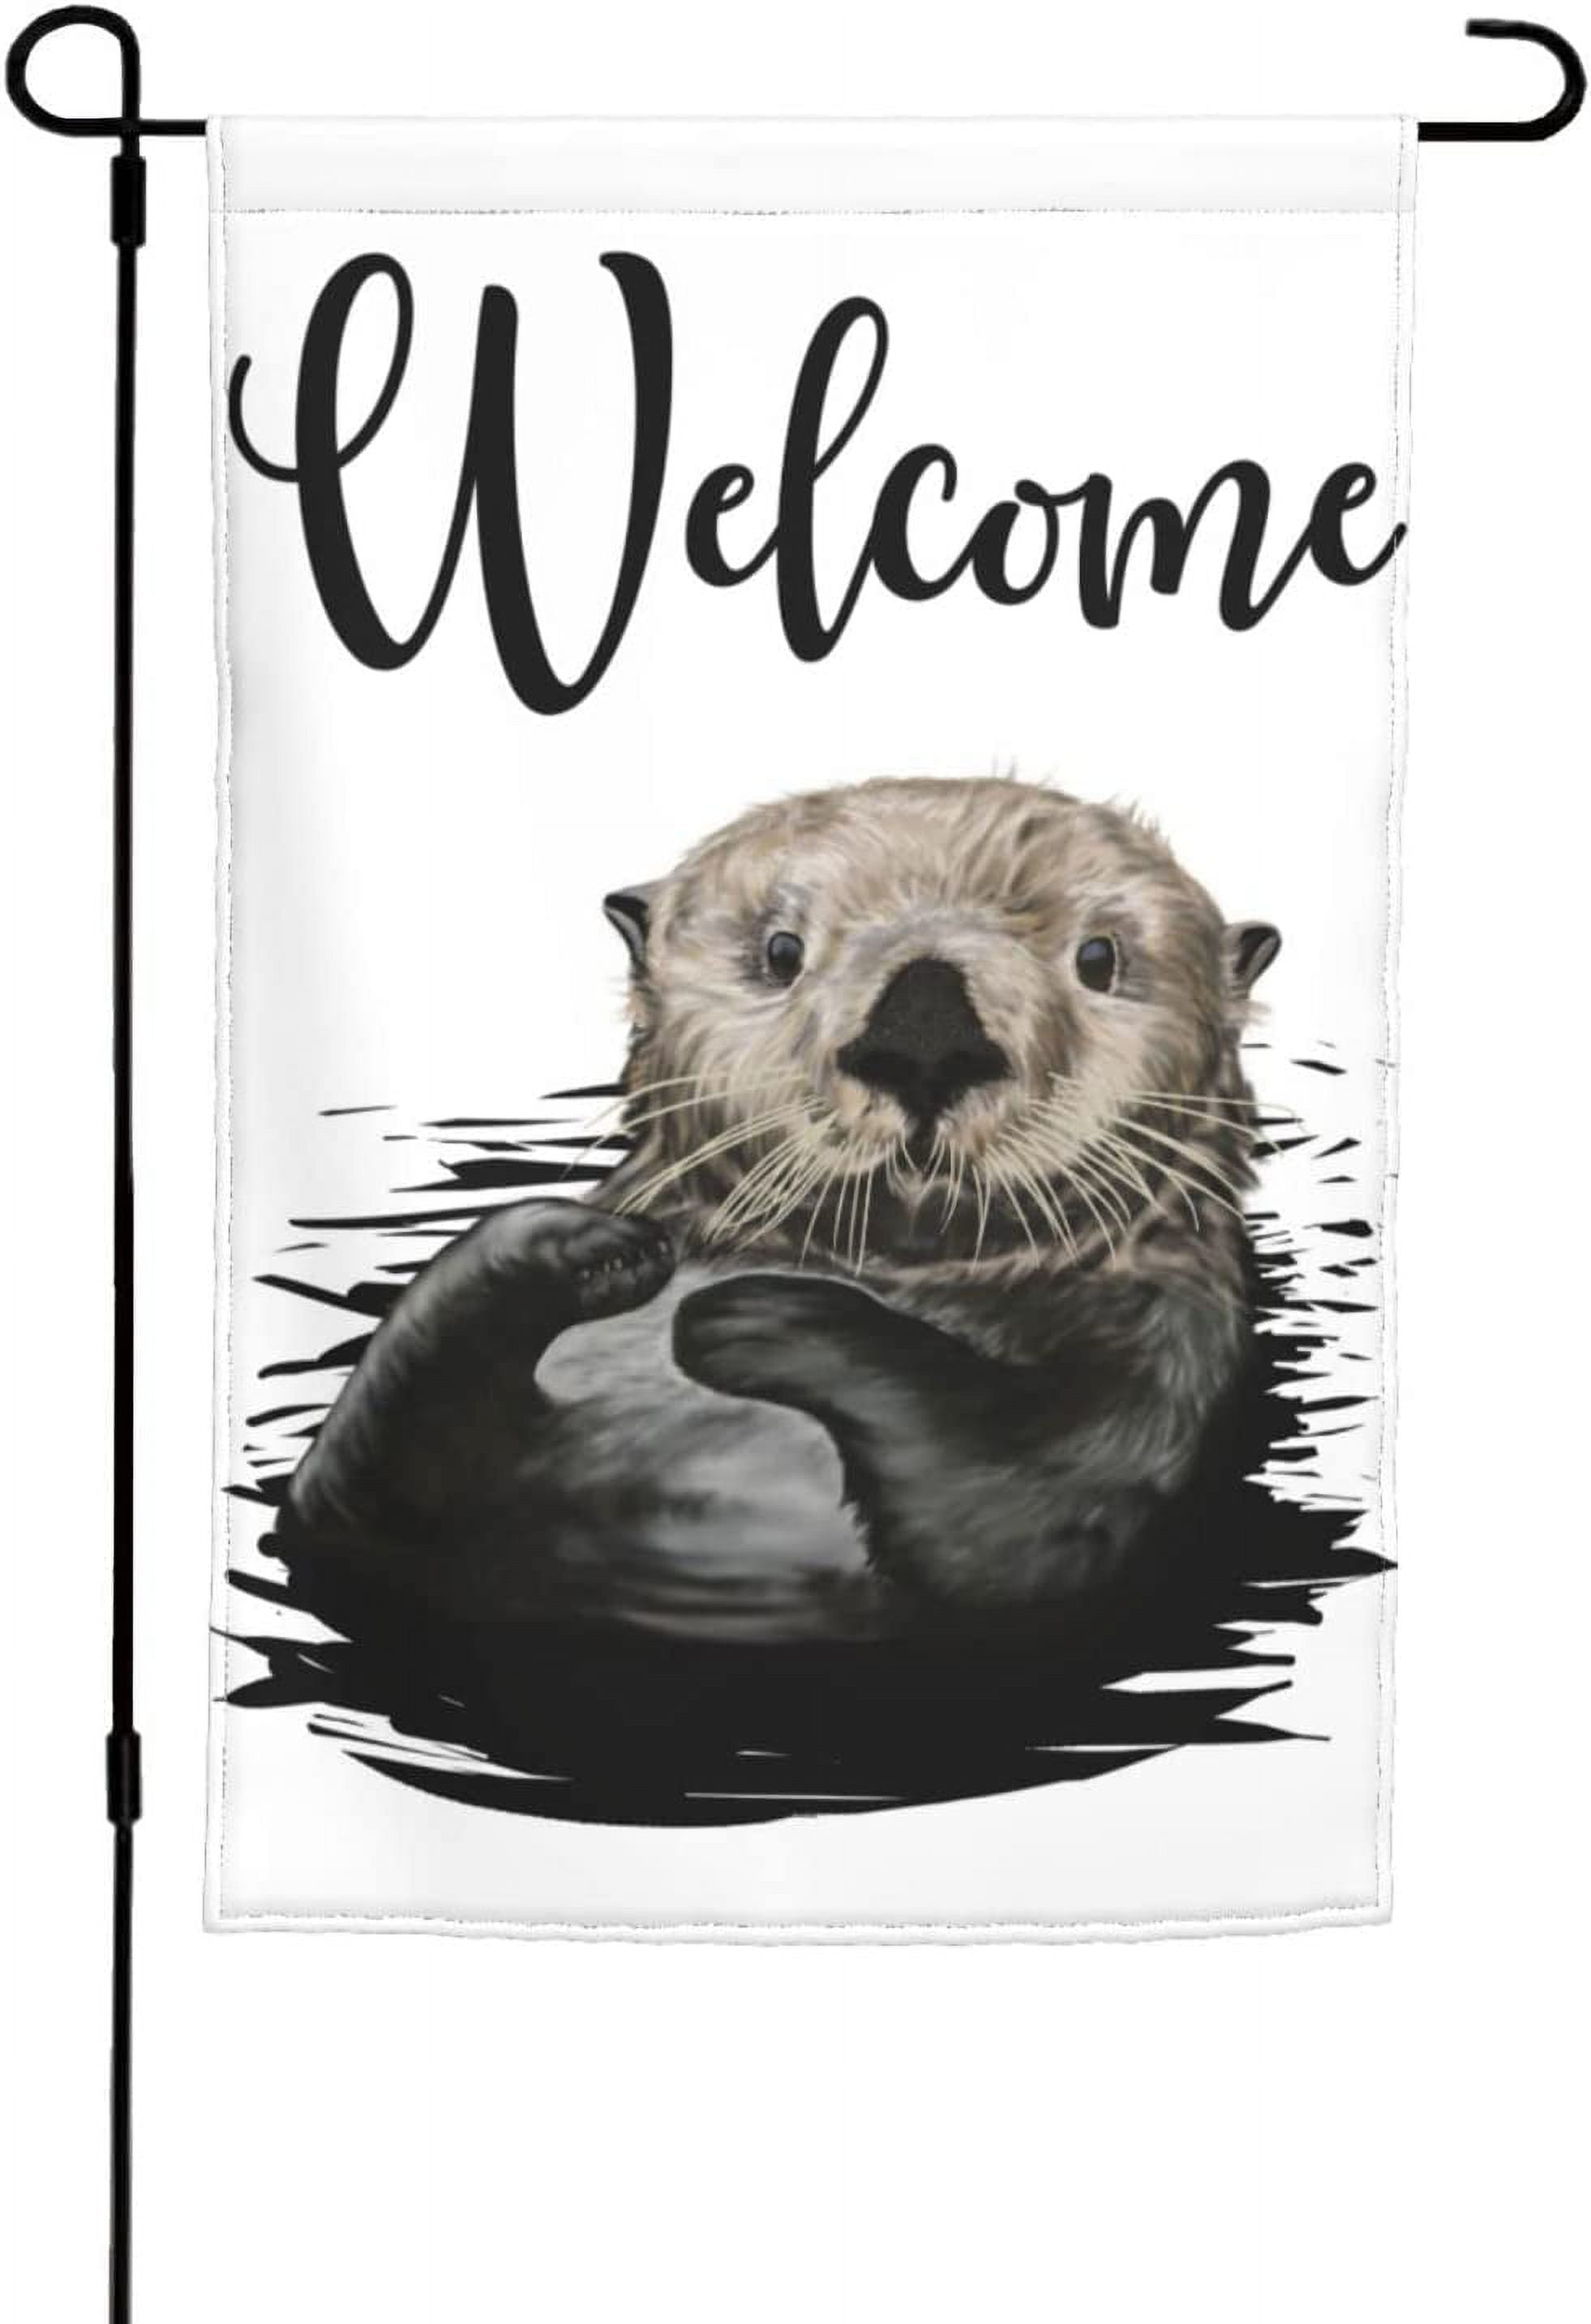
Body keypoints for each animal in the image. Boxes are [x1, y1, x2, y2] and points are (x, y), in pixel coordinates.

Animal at [286, 776, 1280, 1623]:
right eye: (781, 952)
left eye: (1099, 957)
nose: (925, 1037)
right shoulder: (364, 1512)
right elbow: (372, 1453)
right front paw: (599, 1247)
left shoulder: (1162, 1385)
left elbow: (1011, 1512)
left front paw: (737, 1316)